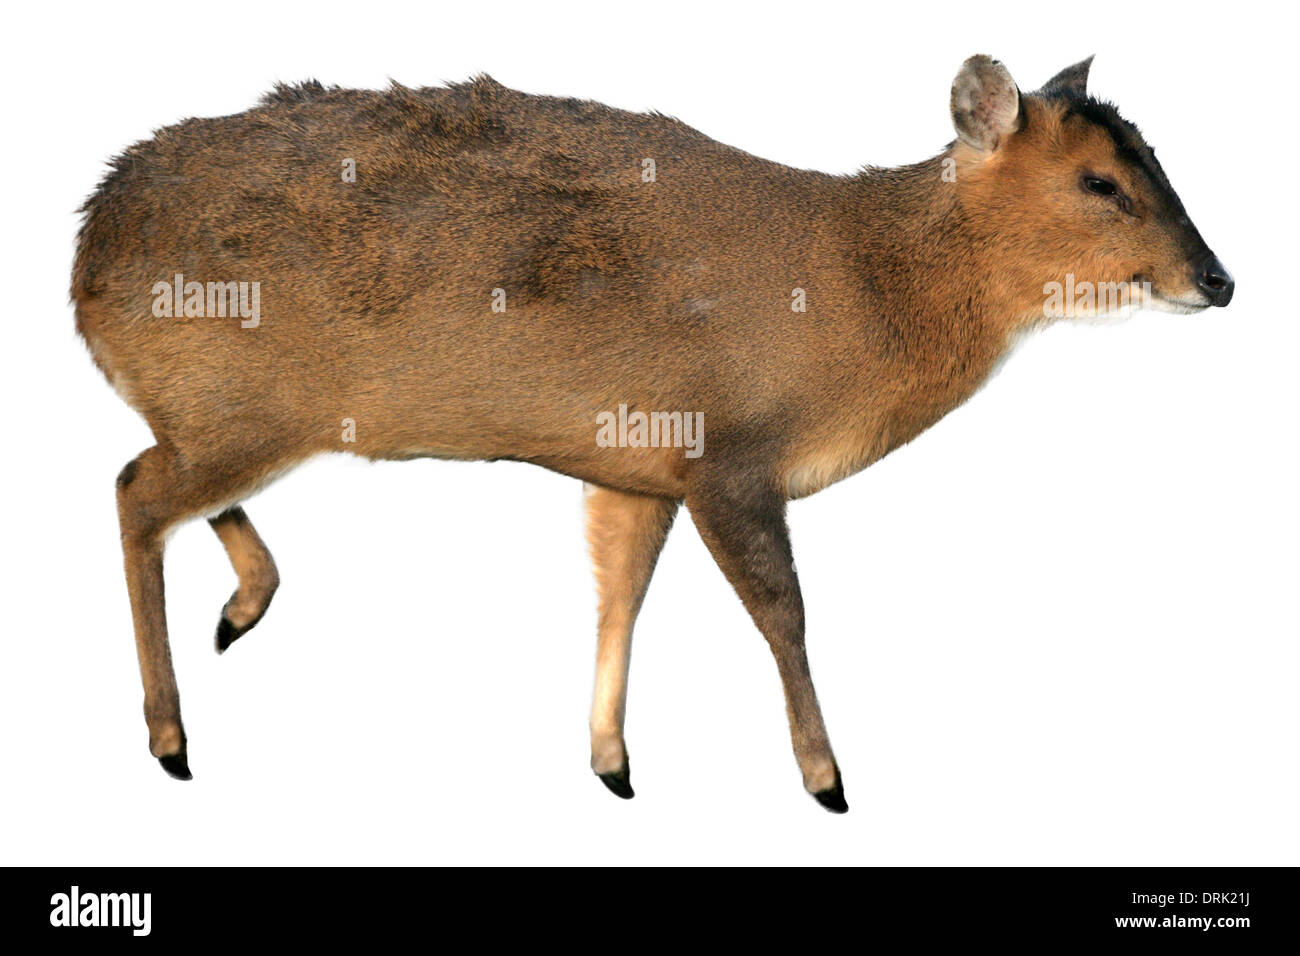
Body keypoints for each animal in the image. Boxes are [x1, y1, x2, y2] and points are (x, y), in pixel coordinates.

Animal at [72, 54, 1233, 812]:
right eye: (1099, 181)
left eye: (1155, 155)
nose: (1218, 280)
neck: (865, 293)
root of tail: (84, 259)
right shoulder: (727, 452)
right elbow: (783, 614)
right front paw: (826, 778)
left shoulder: (638, 465)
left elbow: (618, 592)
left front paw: (611, 759)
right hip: (243, 399)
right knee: (134, 489)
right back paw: (171, 734)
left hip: (233, 409)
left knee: (160, 477)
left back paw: (242, 608)